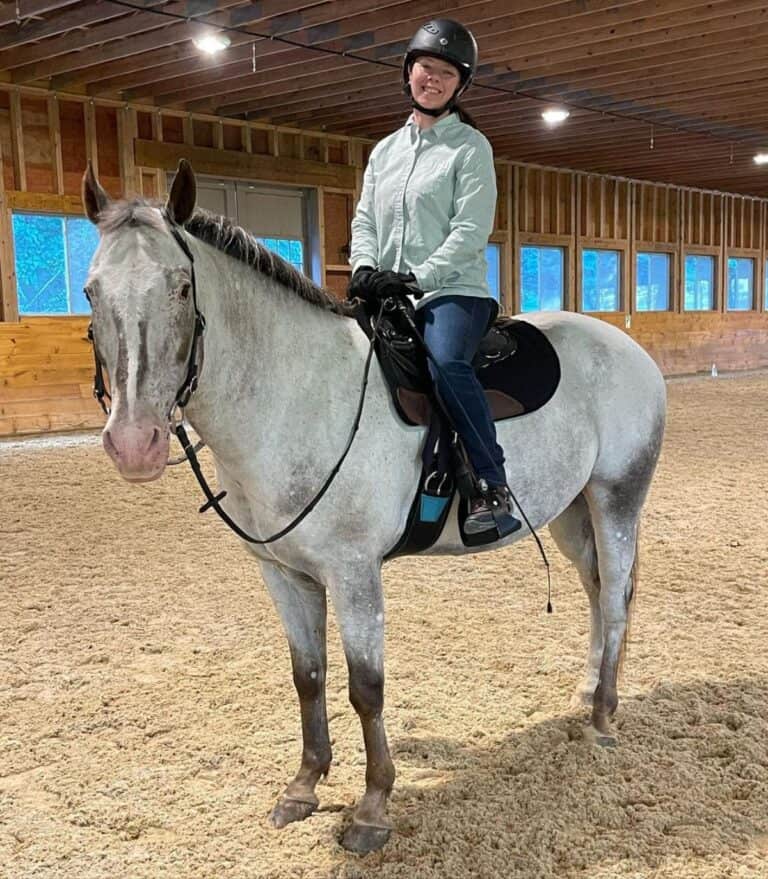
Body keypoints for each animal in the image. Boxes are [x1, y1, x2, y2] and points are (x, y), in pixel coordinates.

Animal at [81, 160, 666, 854]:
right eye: (91, 292)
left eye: (179, 288)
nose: (133, 443)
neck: (296, 395)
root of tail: (625, 345)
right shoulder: (284, 574)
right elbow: (307, 675)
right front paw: (304, 785)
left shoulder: (354, 573)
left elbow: (366, 687)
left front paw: (371, 808)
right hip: (571, 511)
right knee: (598, 590)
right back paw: (588, 690)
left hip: (617, 496)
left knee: (618, 593)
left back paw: (603, 716)